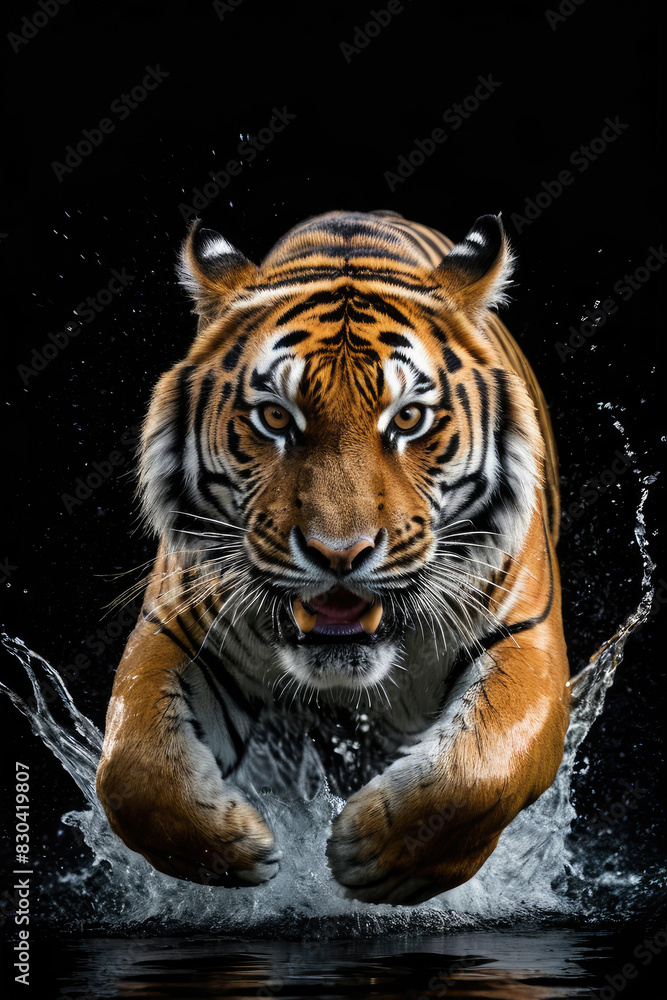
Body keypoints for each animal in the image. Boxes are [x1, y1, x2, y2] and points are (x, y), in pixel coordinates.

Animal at [96, 209, 570, 906]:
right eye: (273, 417)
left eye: (409, 419)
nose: (338, 554)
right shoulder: (178, 623)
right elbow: (132, 767)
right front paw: (230, 850)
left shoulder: (525, 636)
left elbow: (485, 768)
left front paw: (381, 854)